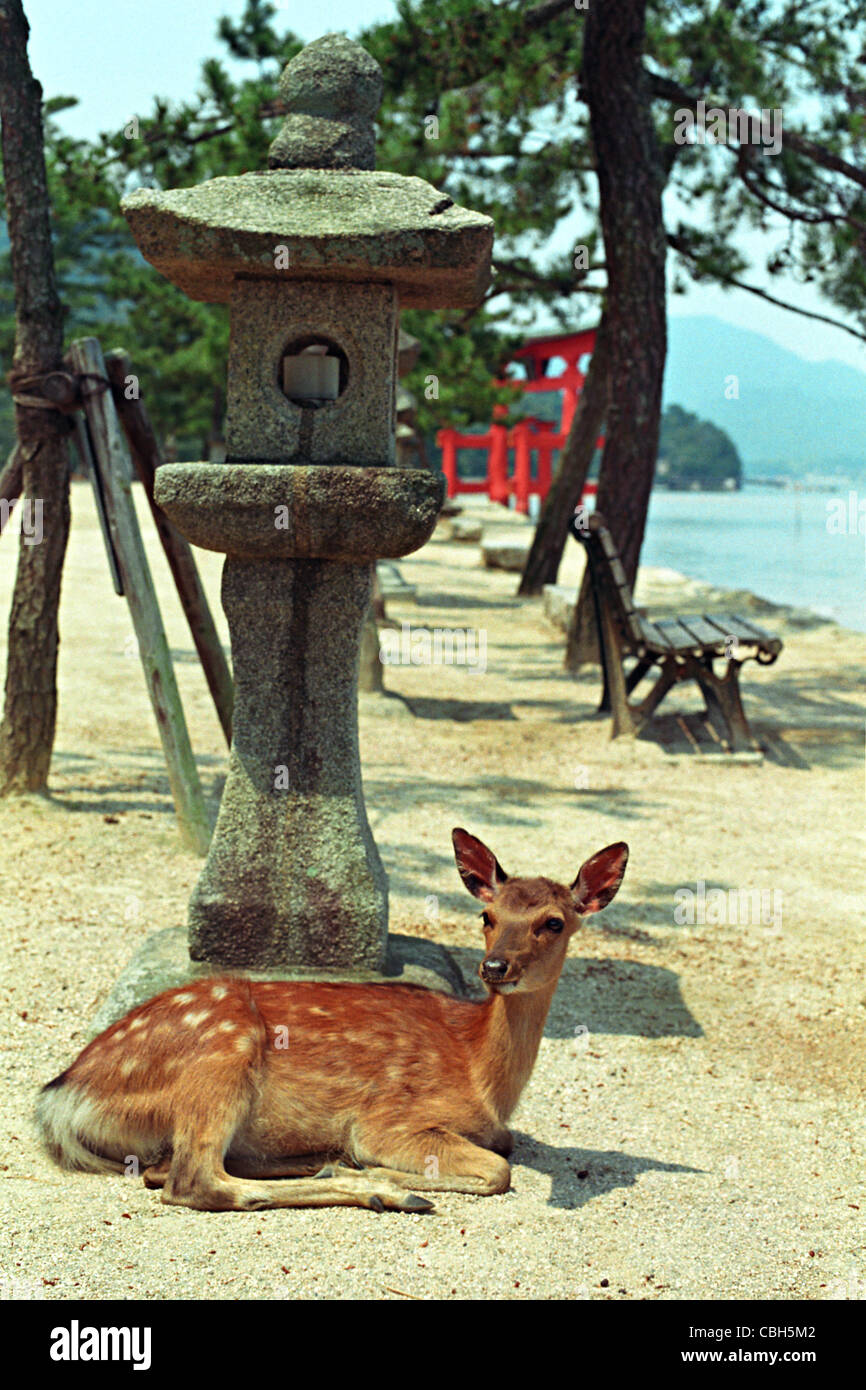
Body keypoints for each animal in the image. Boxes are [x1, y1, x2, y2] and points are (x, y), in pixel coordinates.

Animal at [36, 829, 628, 1213]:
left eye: (554, 921)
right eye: (487, 915)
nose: (495, 967)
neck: (482, 1074)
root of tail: (60, 1098)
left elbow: (504, 1148)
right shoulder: (389, 1118)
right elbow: (498, 1169)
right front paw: (379, 1170)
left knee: (169, 1170)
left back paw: (323, 1163)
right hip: (220, 1057)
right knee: (193, 1182)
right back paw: (383, 1189)